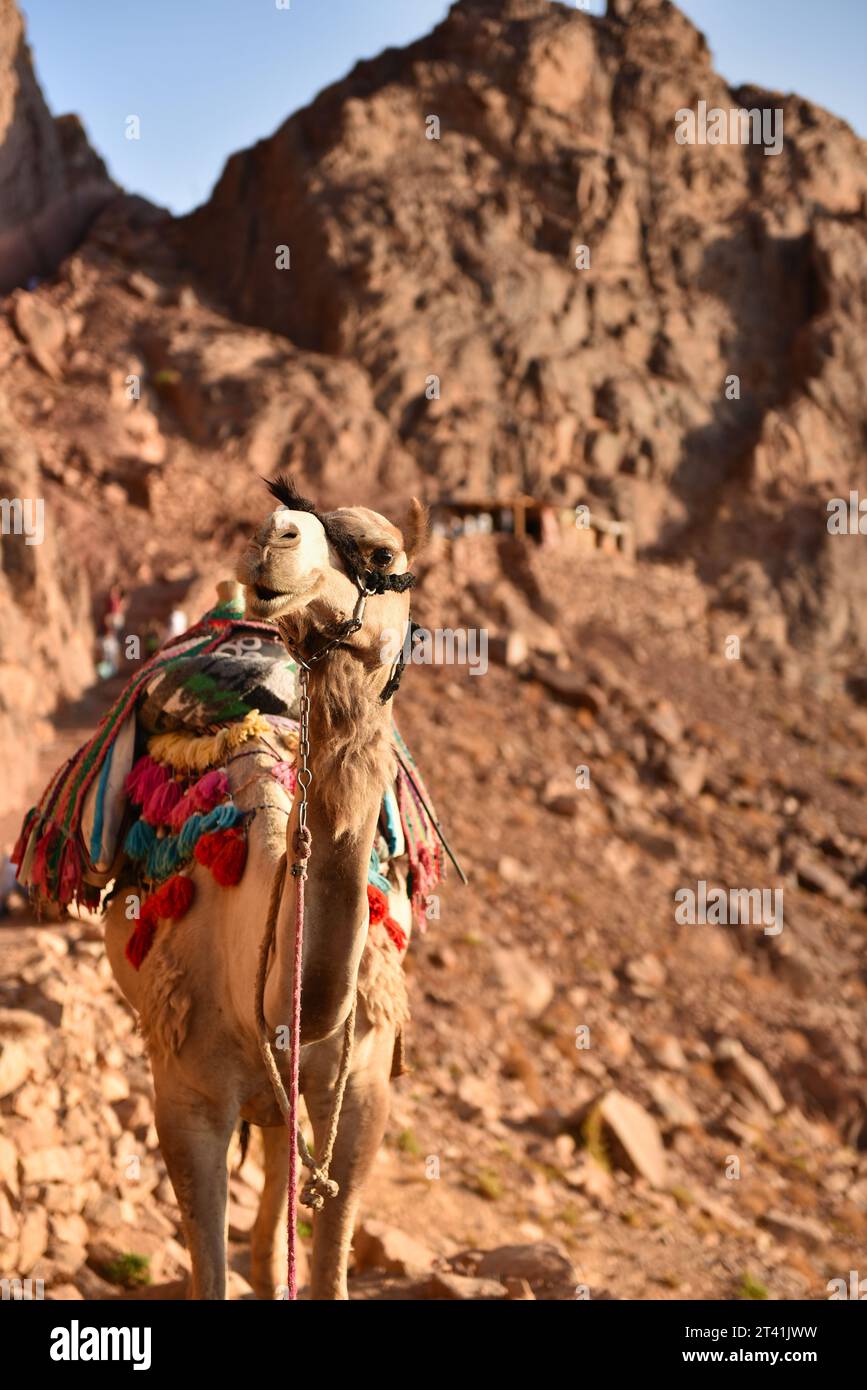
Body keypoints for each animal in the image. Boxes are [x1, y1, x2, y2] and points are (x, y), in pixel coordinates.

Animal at [103, 483, 429, 1300]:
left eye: (382, 554)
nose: (273, 536)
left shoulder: (365, 1087)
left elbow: (330, 1266)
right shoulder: (185, 1094)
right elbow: (209, 1271)